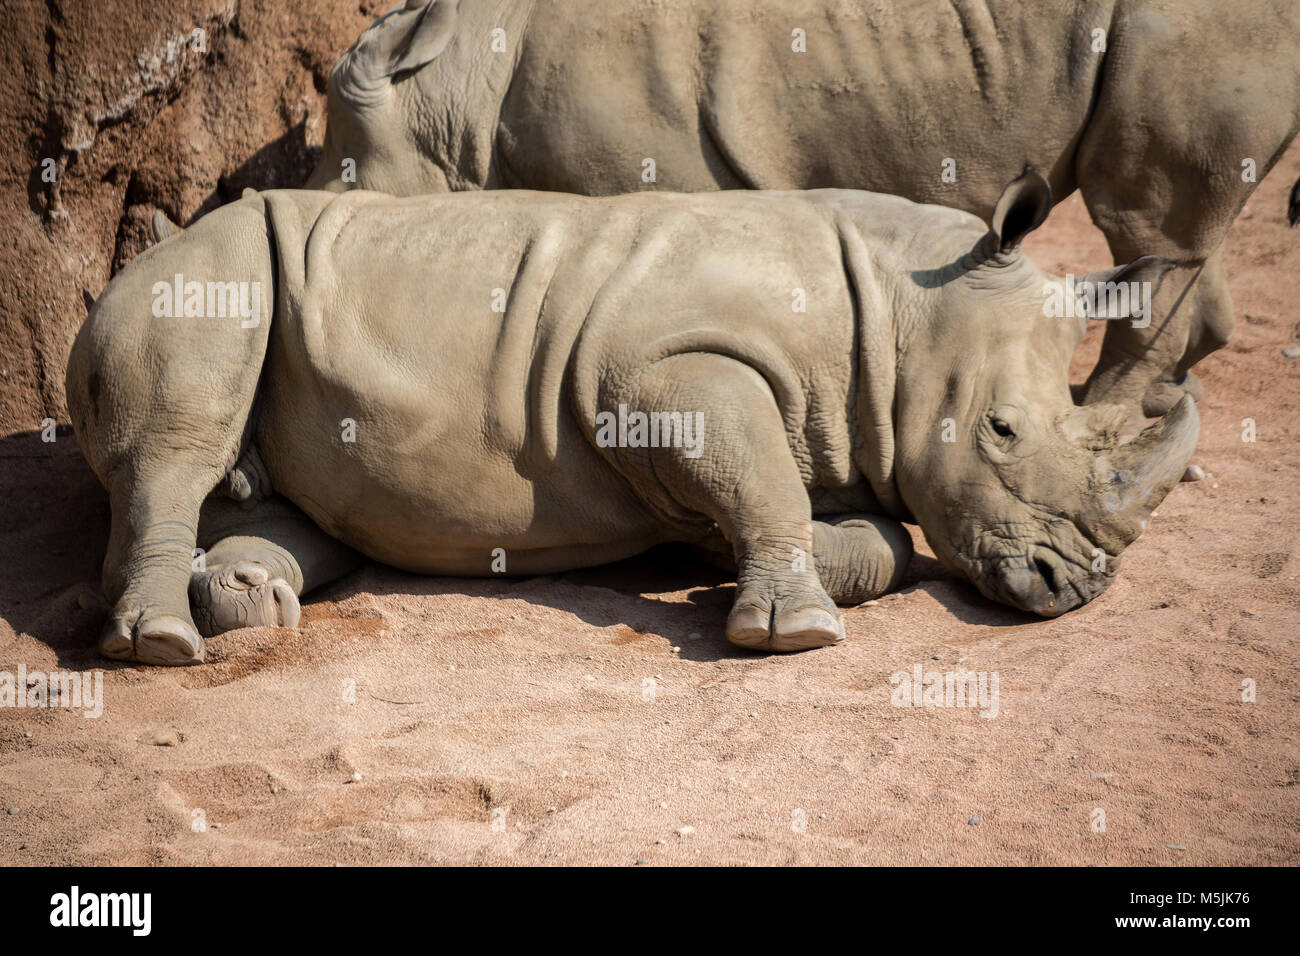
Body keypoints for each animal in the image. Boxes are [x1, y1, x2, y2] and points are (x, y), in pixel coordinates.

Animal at [69, 172, 1197, 666]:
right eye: (1001, 431)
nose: (1080, 589)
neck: (896, 313)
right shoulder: (660, 373)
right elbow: (760, 477)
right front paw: (790, 632)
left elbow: (868, 532)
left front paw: (726, 572)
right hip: (199, 275)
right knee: (177, 437)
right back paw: (162, 641)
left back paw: (248, 596)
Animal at [294, 0, 1300, 417]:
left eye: (339, 182)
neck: (451, 81)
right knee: (1175, 235)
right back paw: (1159, 409)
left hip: (1192, 31)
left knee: (1150, 223)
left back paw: (1112, 417)